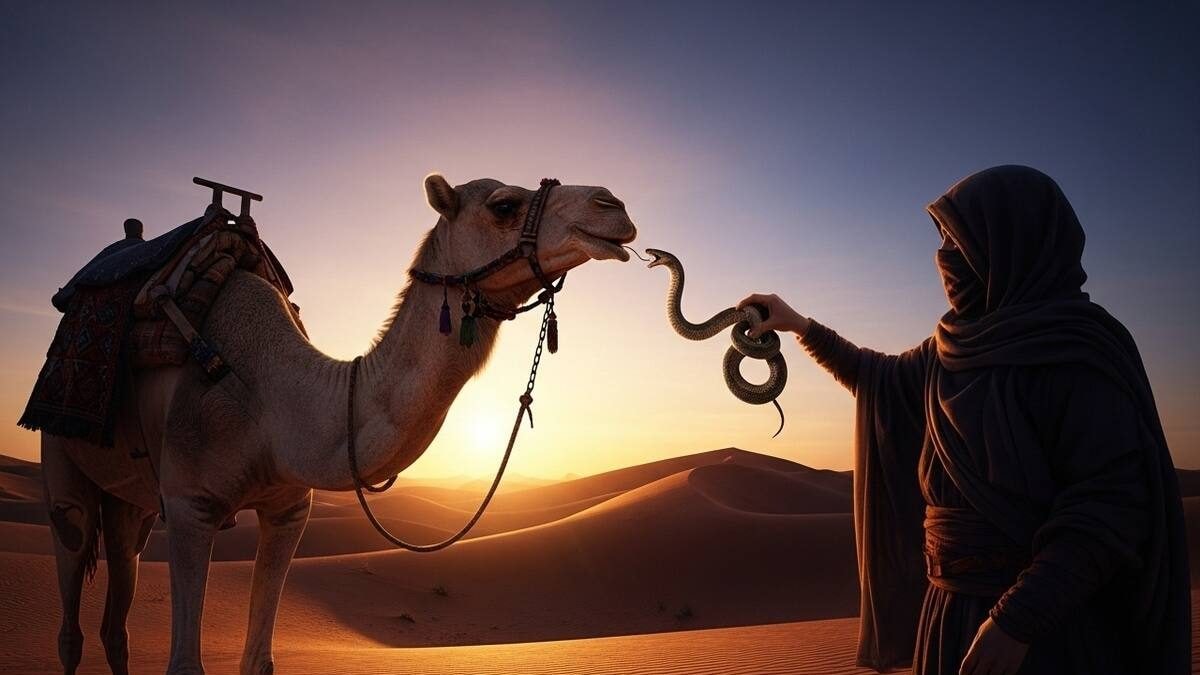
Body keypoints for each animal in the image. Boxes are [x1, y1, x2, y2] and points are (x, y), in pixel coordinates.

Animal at [40, 174, 637, 675]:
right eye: (504, 205)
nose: (614, 205)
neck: (271, 399)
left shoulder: (289, 510)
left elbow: (259, 660)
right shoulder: (191, 504)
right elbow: (186, 664)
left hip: (134, 503)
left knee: (117, 607)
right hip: (64, 466)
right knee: (70, 601)